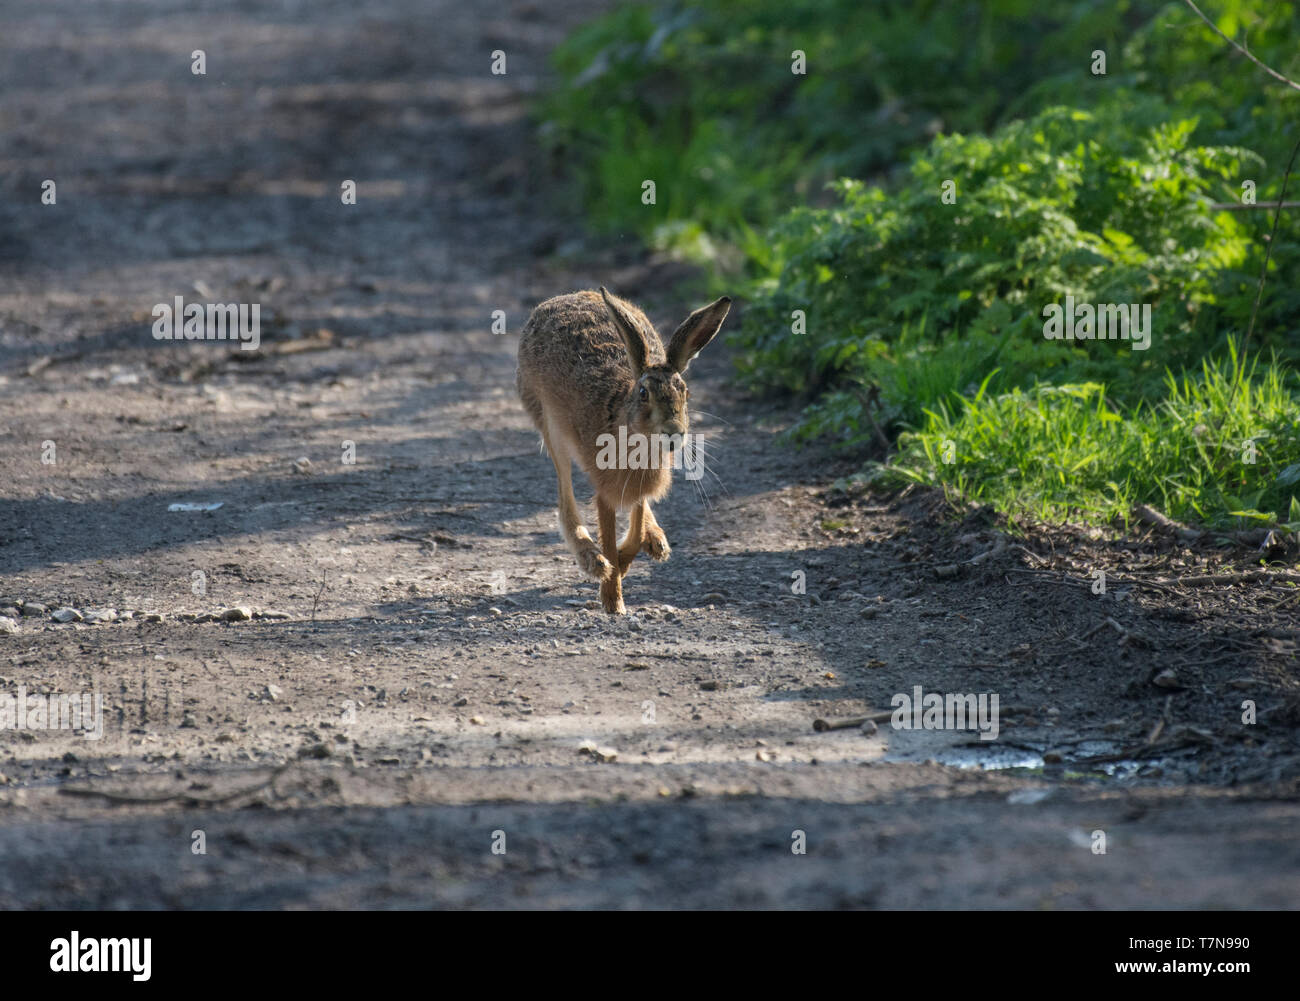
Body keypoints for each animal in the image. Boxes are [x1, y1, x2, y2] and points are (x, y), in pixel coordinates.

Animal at [516, 287, 732, 613]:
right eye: (643, 394)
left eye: (686, 392)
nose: (674, 432)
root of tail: (567, 297)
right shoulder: (606, 489)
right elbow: (608, 533)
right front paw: (612, 598)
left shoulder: (640, 486)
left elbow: (636, 526)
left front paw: (625, 561)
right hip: (548, 423)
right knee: (565, 496)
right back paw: (593, 560)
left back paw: (656, 541)